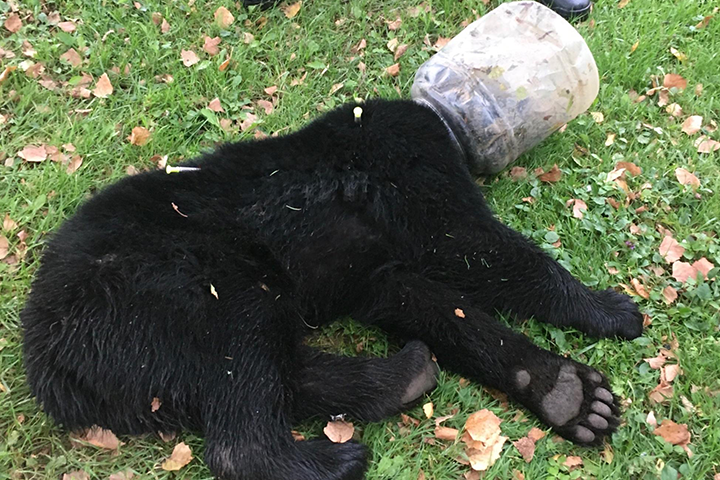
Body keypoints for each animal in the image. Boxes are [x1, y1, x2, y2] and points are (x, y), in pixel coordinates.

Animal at [21, 99, 644, 480]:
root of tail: (49, 355)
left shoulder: (374, 274)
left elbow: (433, 302)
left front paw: (563, 390)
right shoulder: (407, 157)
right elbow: (468, 243)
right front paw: (608, 311)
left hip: (152, 347)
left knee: (273, 369)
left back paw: (403, 376)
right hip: (187, 278)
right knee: (243, 391)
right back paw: (332, 460)